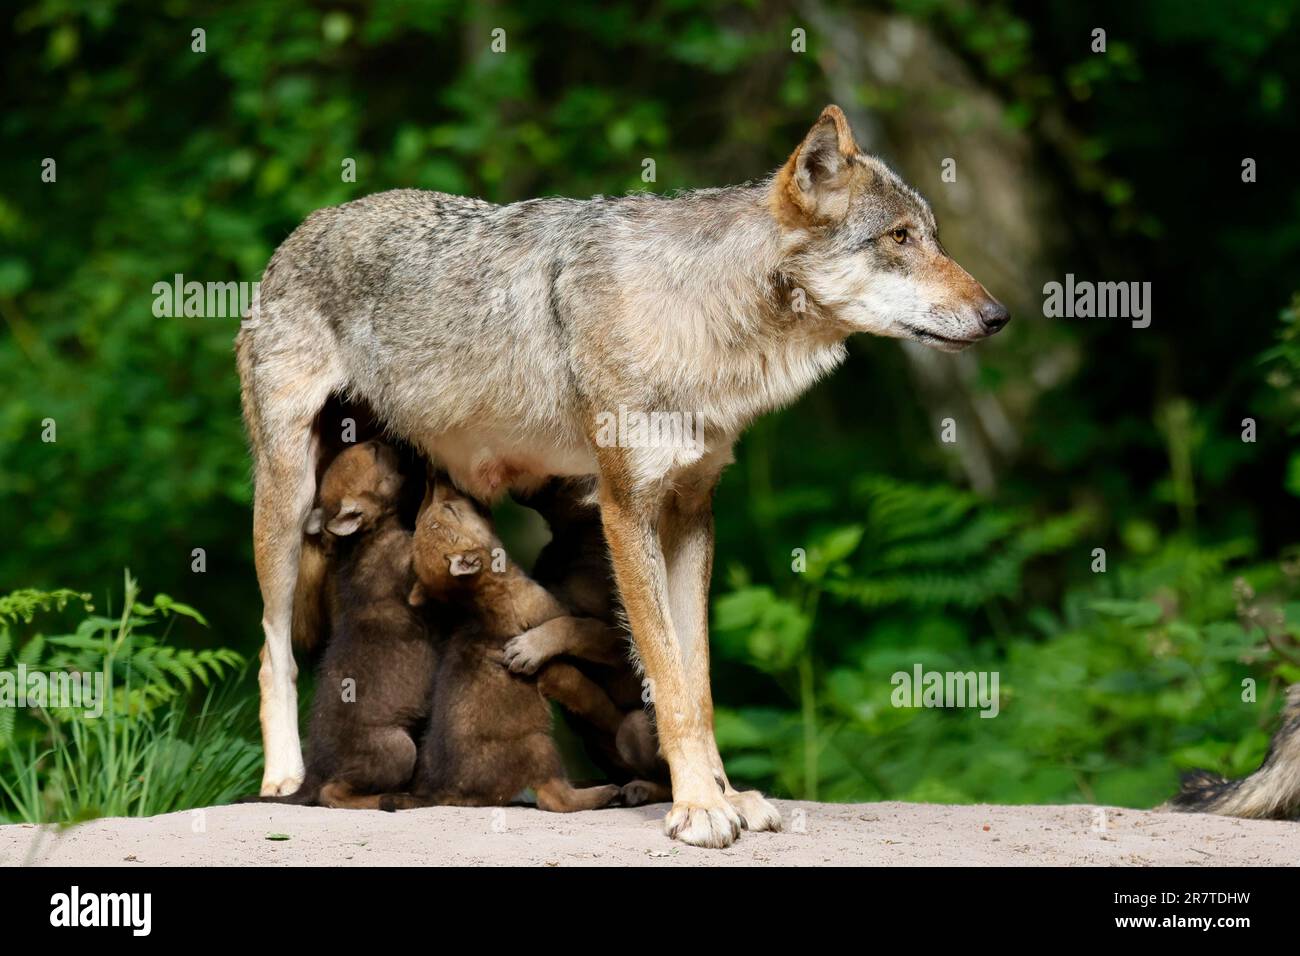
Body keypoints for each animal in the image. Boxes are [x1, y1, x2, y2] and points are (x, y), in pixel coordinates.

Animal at [236, 104, 1009, 847]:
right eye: (899, 238)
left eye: (932, 236)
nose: (999, 315)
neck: (698, 316)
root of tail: (304, 228)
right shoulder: (624, 506)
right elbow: (667, 676)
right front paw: (697, 809)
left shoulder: (691, 513)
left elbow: (697, 682)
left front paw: (726, 797)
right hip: (284, 503)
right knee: (274, 650)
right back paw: (285, 780)